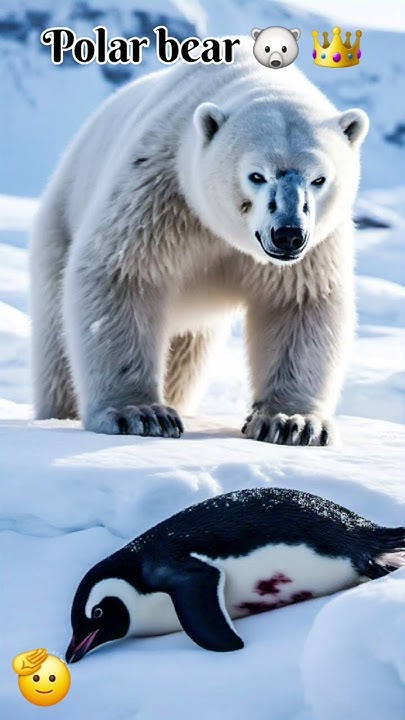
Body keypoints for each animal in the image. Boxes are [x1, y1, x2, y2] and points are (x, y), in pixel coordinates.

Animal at [30, 37, 369, 445]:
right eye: (256, 175)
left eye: (319, 179)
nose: (287, 234)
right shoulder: (160, 192)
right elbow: (124, 275)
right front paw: (139, 414)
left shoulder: (317, 246)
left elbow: (299, 301)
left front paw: (291, 422)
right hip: (58, 225)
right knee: (57, 345)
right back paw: (61, 411)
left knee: (186, 353)